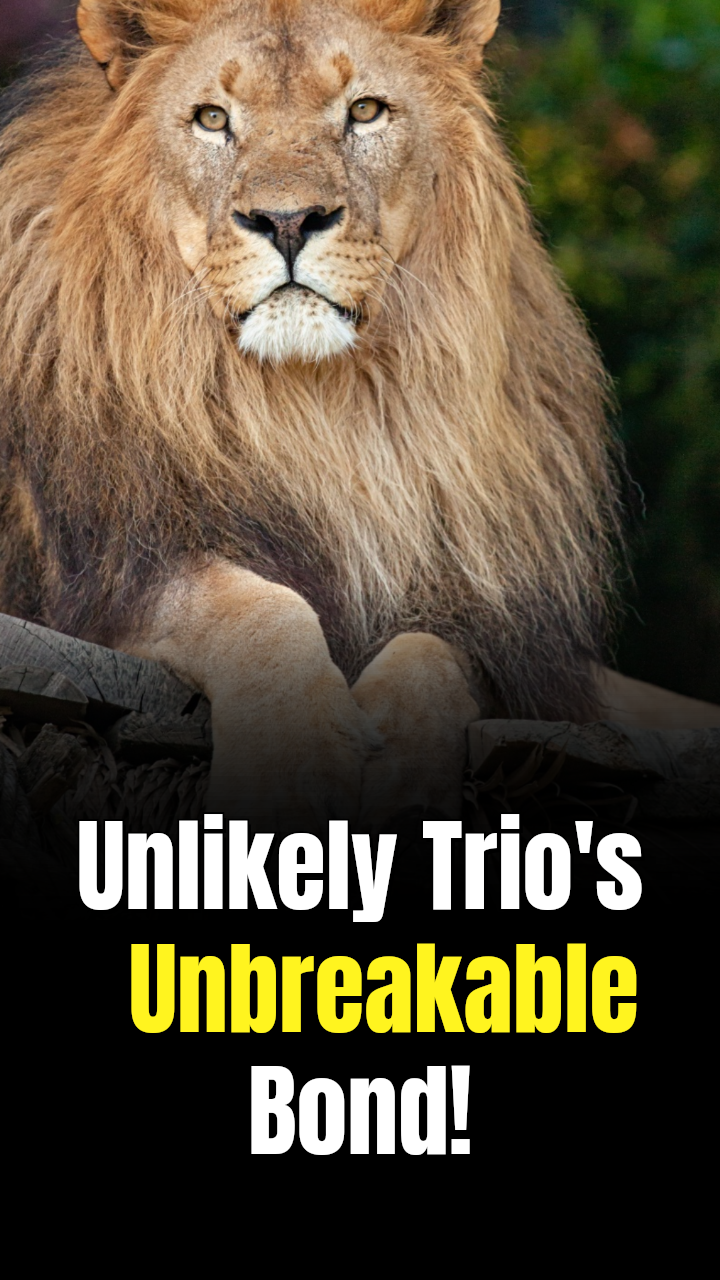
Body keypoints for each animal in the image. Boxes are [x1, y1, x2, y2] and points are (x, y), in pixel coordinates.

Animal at [0, 0, 716, 827]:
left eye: (365, 111)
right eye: (212, 119)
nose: (287, 220)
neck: (321, 410)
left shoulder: (491, 615)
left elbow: (431, 655)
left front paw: (403, 778)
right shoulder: (105, 576)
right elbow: (260, 610)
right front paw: (296, 763)